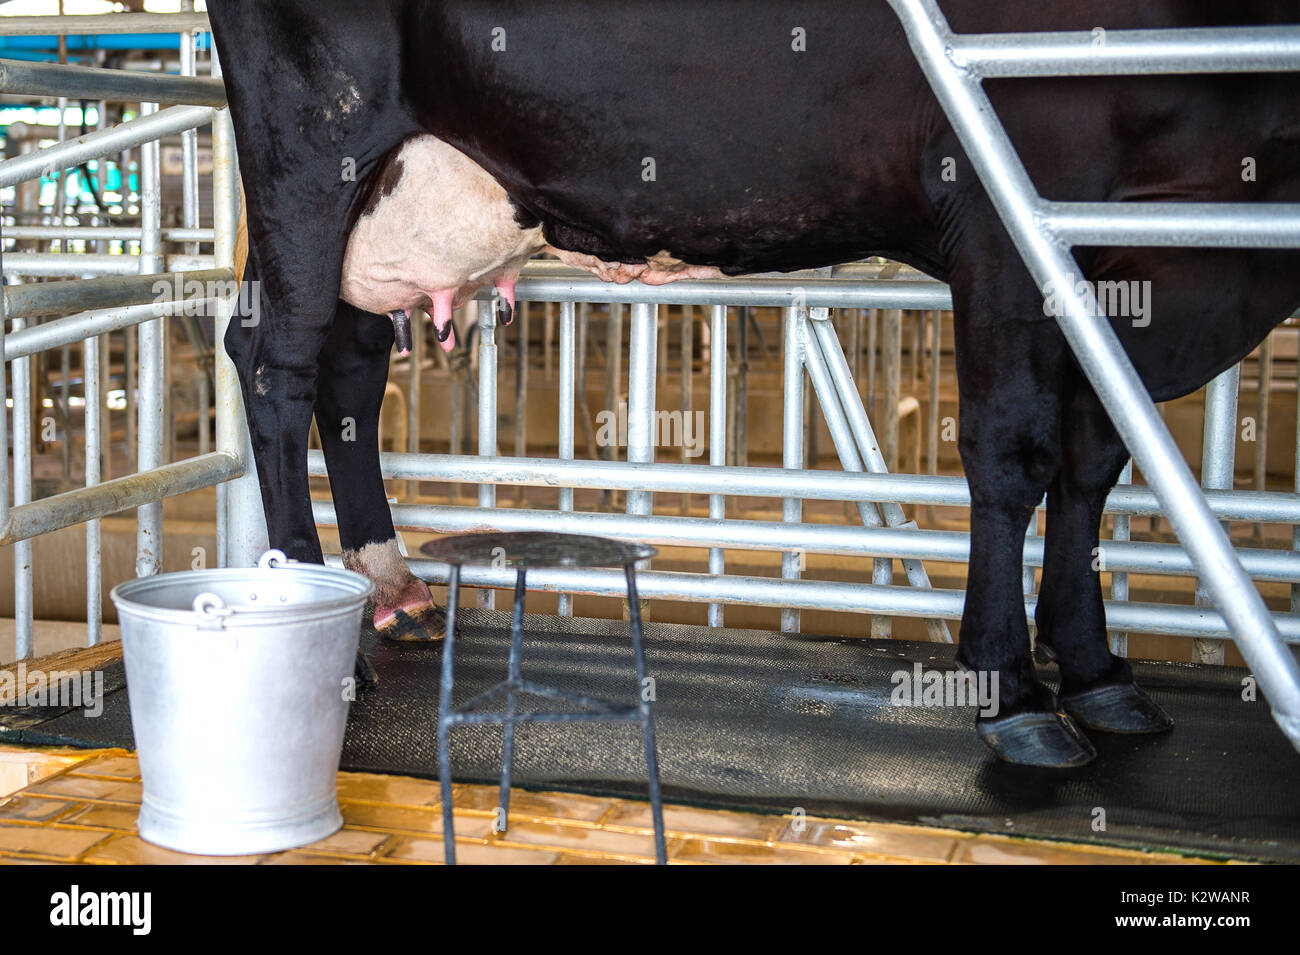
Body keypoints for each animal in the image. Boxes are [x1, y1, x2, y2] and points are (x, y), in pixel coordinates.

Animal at [206, 1, 1300, 767]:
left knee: (349, 361)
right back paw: (332, 633)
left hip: (398, 198)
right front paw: (1012, 692)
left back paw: (391, 587)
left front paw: (1097, 672)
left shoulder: (1146, 265)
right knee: (275, 361)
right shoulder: (1005, 208)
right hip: (313, 143)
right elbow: (1014, 452)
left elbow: (1094, 457)